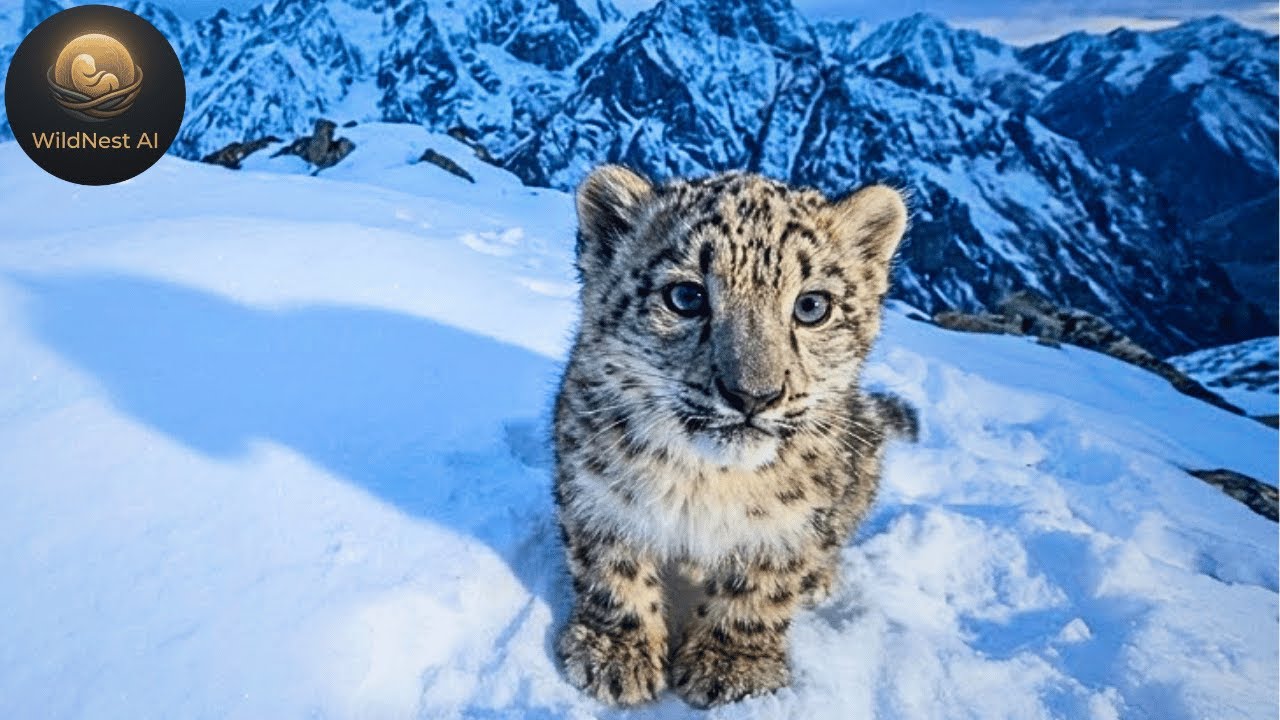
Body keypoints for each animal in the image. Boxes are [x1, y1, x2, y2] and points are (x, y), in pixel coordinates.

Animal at [552, 165, 916, 708]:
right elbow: (611, 568)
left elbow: (763, 586)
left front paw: (733, 666)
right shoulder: (596, 492)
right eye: (686, 297)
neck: (707, 481)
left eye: (812, 306)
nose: (753, 395)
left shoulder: (790, 523)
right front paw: (615, 653)